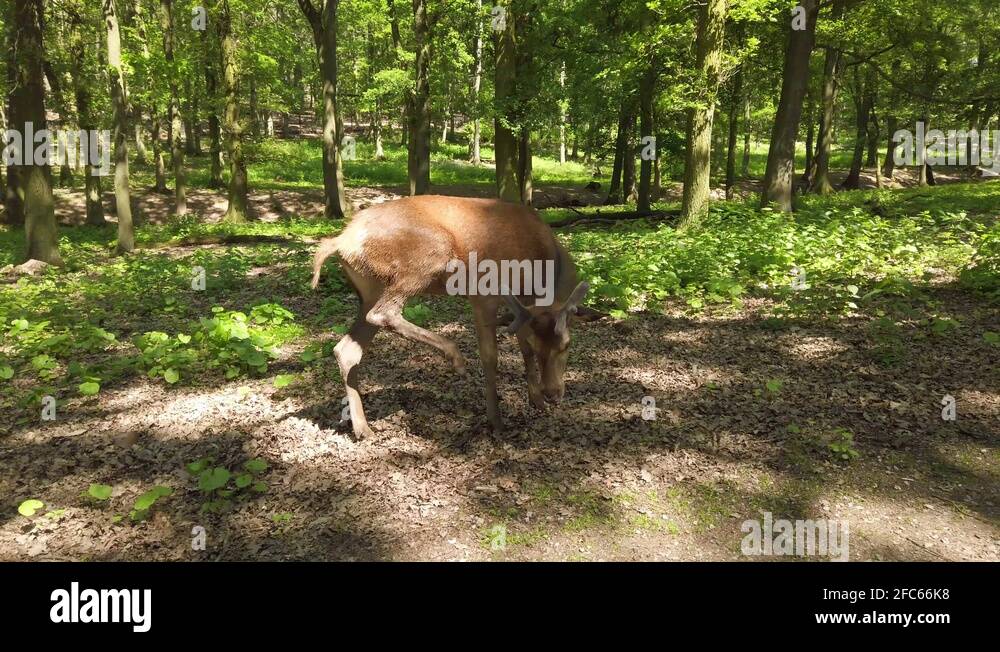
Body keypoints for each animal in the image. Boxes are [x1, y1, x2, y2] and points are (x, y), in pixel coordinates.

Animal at [310, 195, 600, 440]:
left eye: (566, 345)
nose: (552, 394)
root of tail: (341, 242)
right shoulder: (484, 294)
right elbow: (491, 358)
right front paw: (496, 421)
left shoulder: (522, 310)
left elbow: (523, 349)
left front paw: (535, 400)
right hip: (426, 256)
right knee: (382, 313)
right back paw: (455, 356)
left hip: (369, 289)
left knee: (346, 349)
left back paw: (362, 428)